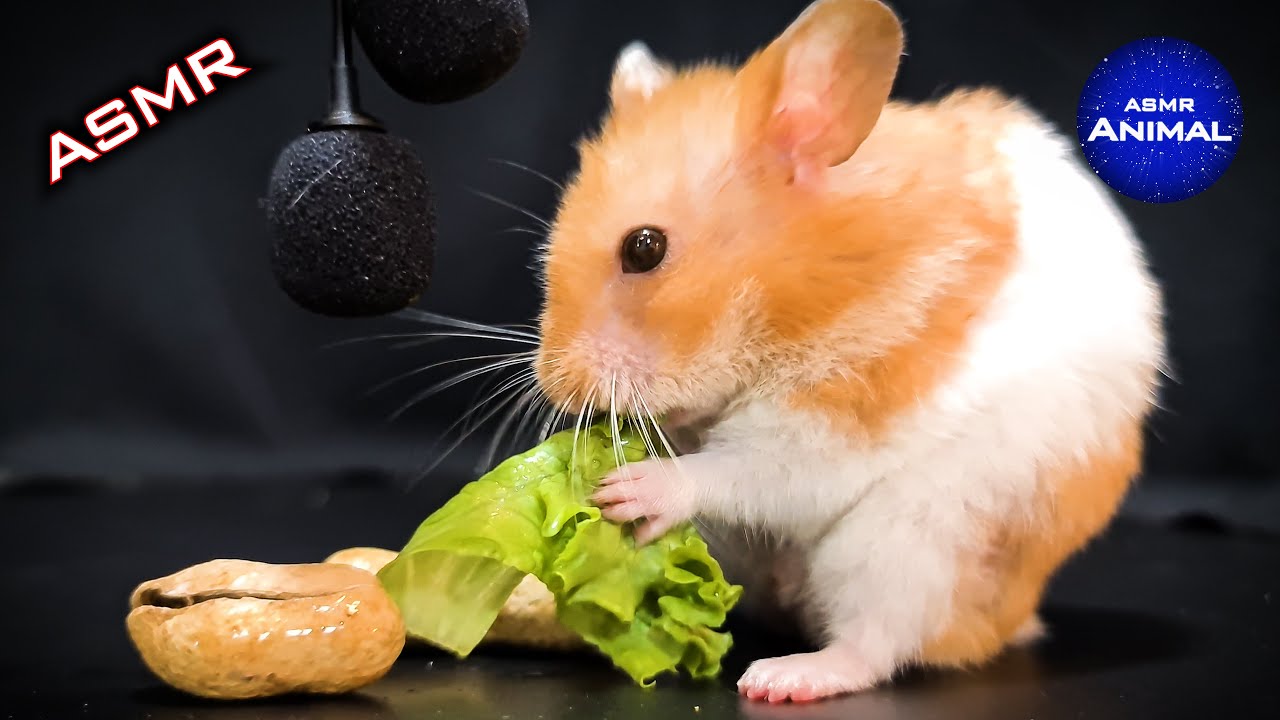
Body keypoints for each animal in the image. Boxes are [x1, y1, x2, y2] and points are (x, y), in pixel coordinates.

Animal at [532, 0, 1166, 704]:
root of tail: (1009, 621)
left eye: (644, 248)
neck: (784, 304)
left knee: (877, 641)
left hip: (910, 542)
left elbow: (749, 470)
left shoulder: (842, 416)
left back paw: (783, 678)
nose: (554, 386)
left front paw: (626, 490)